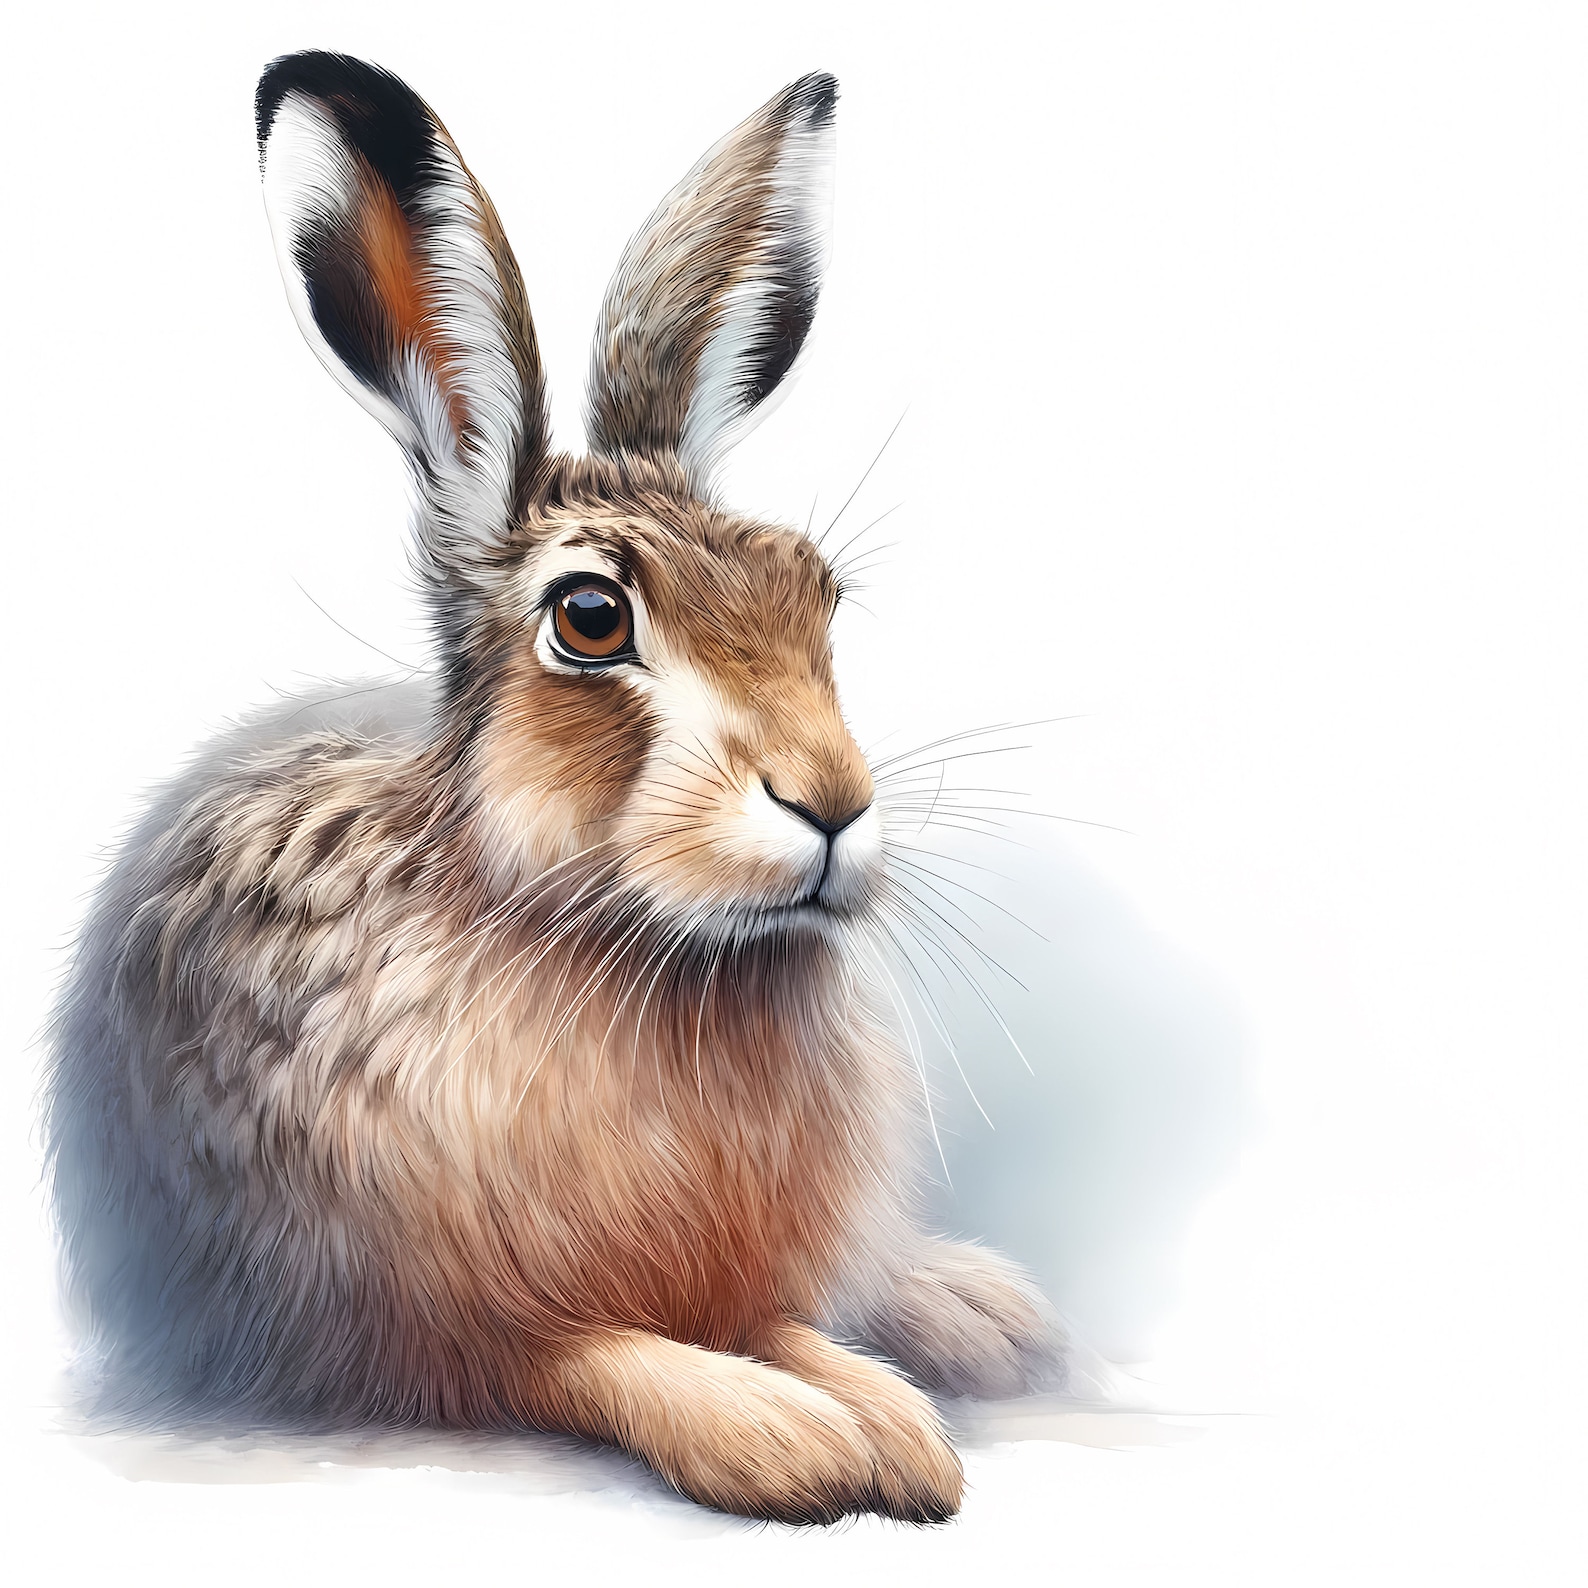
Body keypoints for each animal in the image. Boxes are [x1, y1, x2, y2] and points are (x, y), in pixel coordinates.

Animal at [44, 50, 1068, 1525]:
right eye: (590, 619)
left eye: (817, 593)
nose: (830, 802)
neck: (616, 941)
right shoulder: (415, 1322)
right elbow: (588, 1352)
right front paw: (791, 1439)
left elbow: (790, 1322)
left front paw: (892, 1428)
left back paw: (978, 1308)